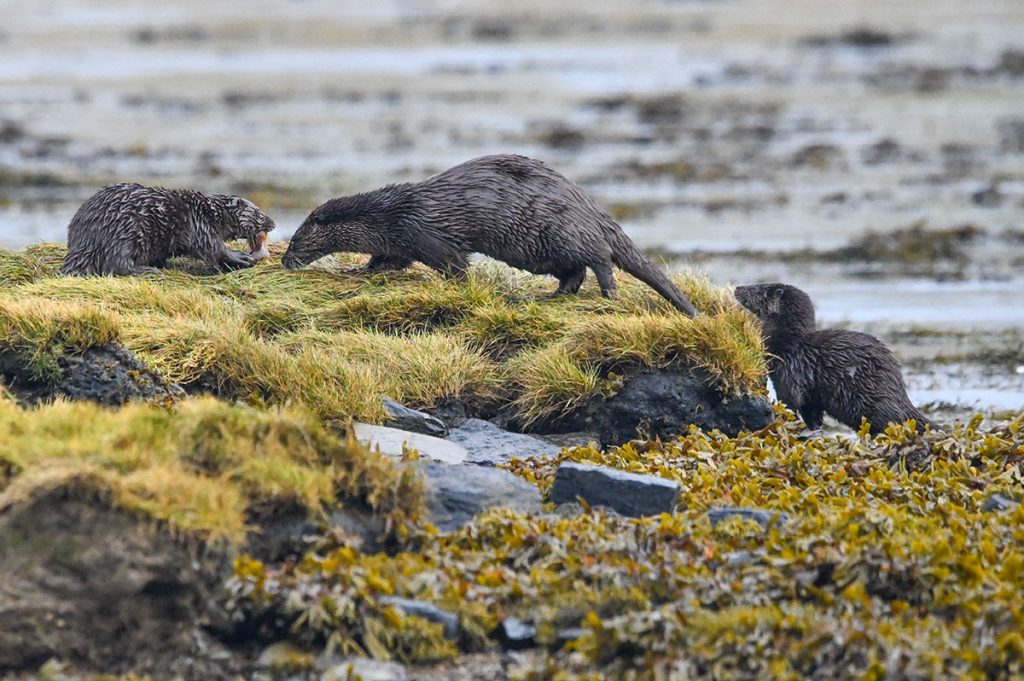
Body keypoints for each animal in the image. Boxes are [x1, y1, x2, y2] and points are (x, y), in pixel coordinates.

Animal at [60, 183, 275, 276]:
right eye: (258, 213)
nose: (272, 223)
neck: (206, 212)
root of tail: (84, 239)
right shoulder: (201, 229)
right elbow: (214, 249)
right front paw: (240, 257)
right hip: (124, 233)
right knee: (117, 265)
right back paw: (147, 271)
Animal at [282, 154, 698, 316]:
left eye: (296, 240)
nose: (285, 261)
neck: (388, 216)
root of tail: (586, 202)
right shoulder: (398, 240)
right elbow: (385, 261)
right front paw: (356, 271)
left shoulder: (423, 233)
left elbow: (454, 264)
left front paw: (458, 285)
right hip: (547, 248)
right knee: (575, 271)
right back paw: (553, 295)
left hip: (561, 230)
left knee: (600, 258)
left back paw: (608, 293)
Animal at [735, 283, 930, 434]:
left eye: (756, 287)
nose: (737, 287)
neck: (789, 343)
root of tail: (899, 389)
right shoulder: (810, 395)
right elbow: (811, 412)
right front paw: (813, 429)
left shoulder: (791, 372)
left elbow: (791, 401)